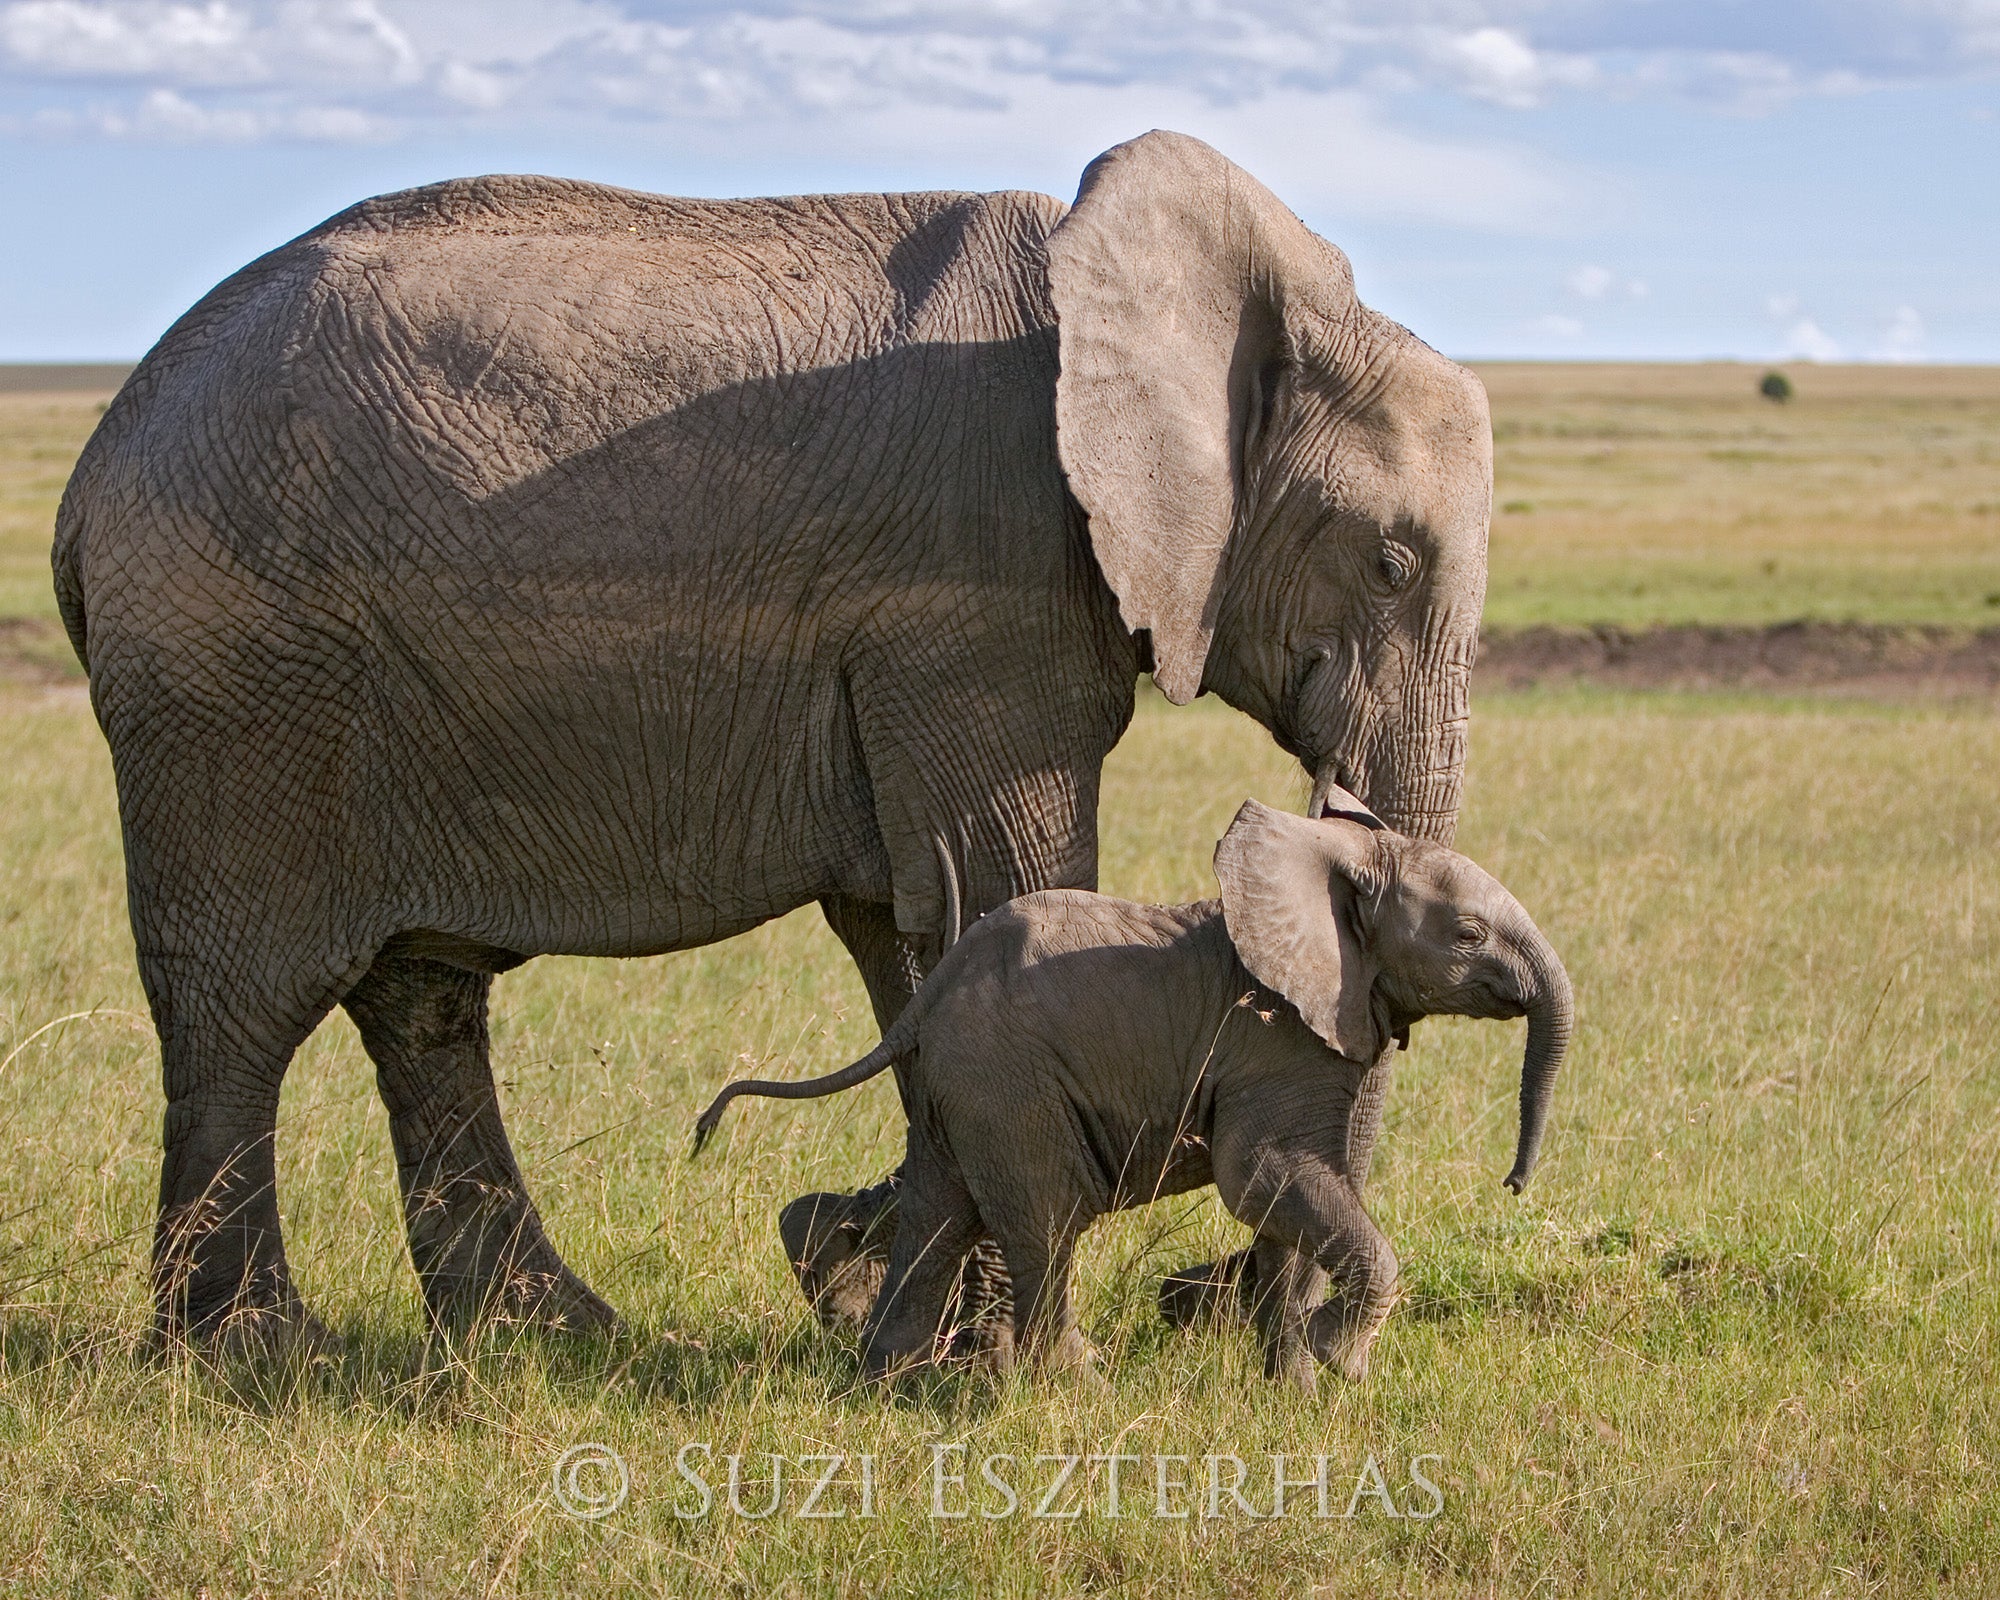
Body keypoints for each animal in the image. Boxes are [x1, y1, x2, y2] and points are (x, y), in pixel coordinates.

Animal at [52, 128, 1492, 1352]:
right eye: (1389, 562)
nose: (1209, 1297)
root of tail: (94, 465)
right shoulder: (973, 592)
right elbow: (998, 883)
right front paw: (959, 1334)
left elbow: (906, 926)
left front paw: (859, 1283)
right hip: (236, 683)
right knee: (241, 1000)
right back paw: (252, 1354)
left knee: (421, 998)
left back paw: (544, 1337)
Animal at [692, 791, 1573, 1387]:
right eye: (1468, 935)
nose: (1514, 1181)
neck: (1333, 864)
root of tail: (931, 993)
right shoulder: (1275, 1041)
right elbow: (1262, 1177)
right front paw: (1340, 1365)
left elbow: (1301, 1204)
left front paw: (1296, 1391)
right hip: (1010, 1087)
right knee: (1048, 1221)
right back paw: (1079, 1388)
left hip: (964, 1089)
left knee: (940, 1213)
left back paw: (890, 1383)